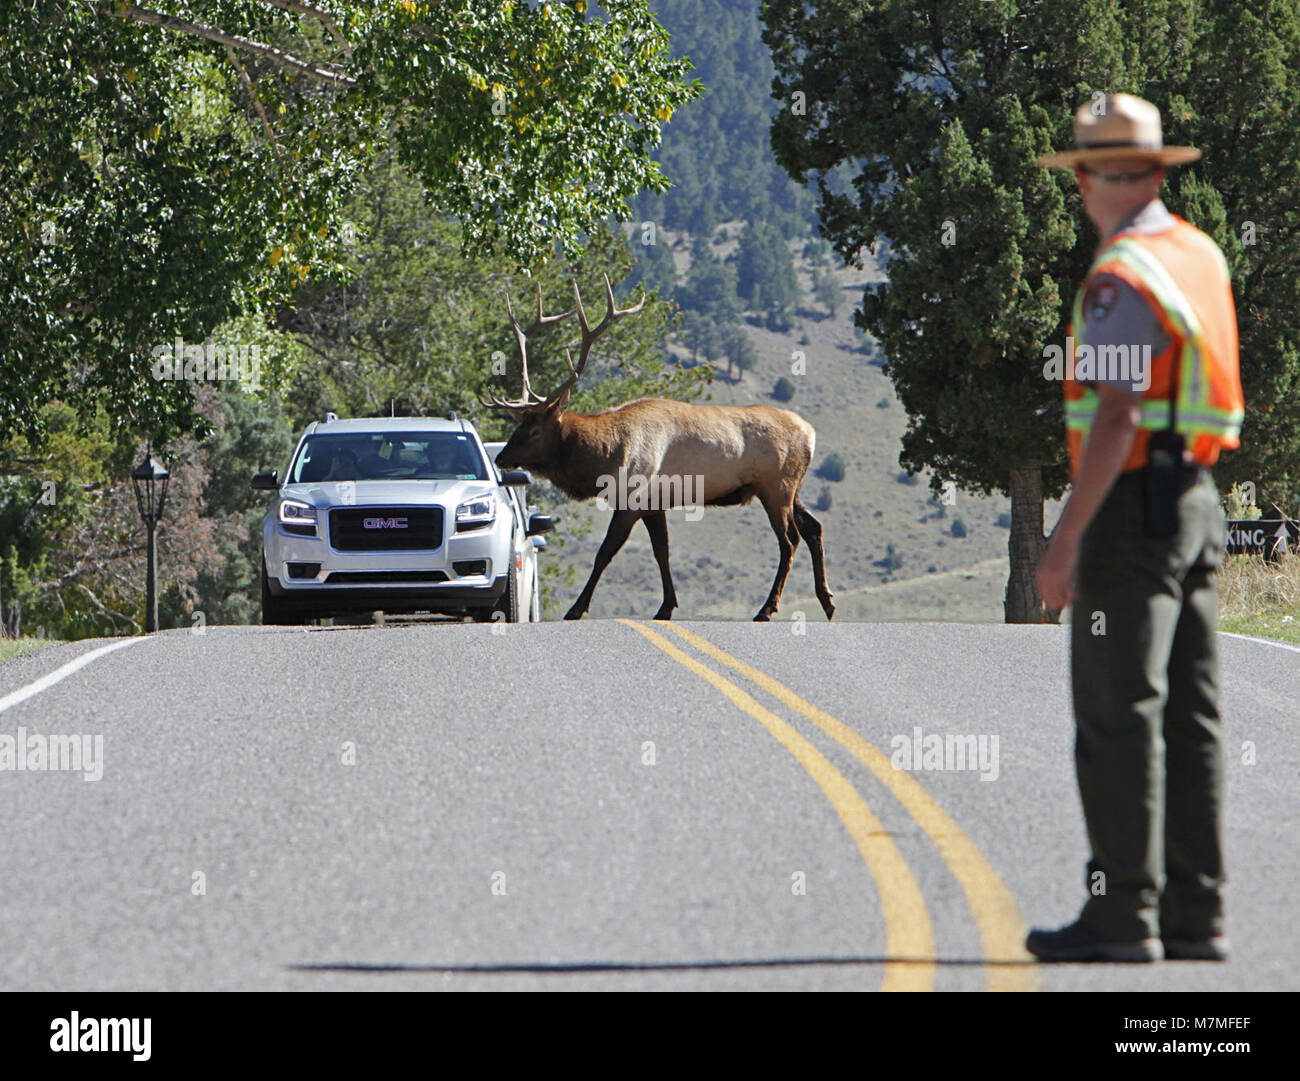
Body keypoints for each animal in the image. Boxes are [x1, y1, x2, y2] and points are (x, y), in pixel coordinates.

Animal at [480, 274, 834, 623]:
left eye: (534, 430)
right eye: (517, 426)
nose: (501, 458)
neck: (605, 458)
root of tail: (811, 433)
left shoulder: (632, 499)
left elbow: (604, 552)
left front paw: (577, 608)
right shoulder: (654, 503)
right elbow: (661, 552)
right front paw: (666, 606)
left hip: (776, 486)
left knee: (789, 541)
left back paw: (767, 608)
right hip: (790, 487)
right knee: (814, 527)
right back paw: (826, 601)